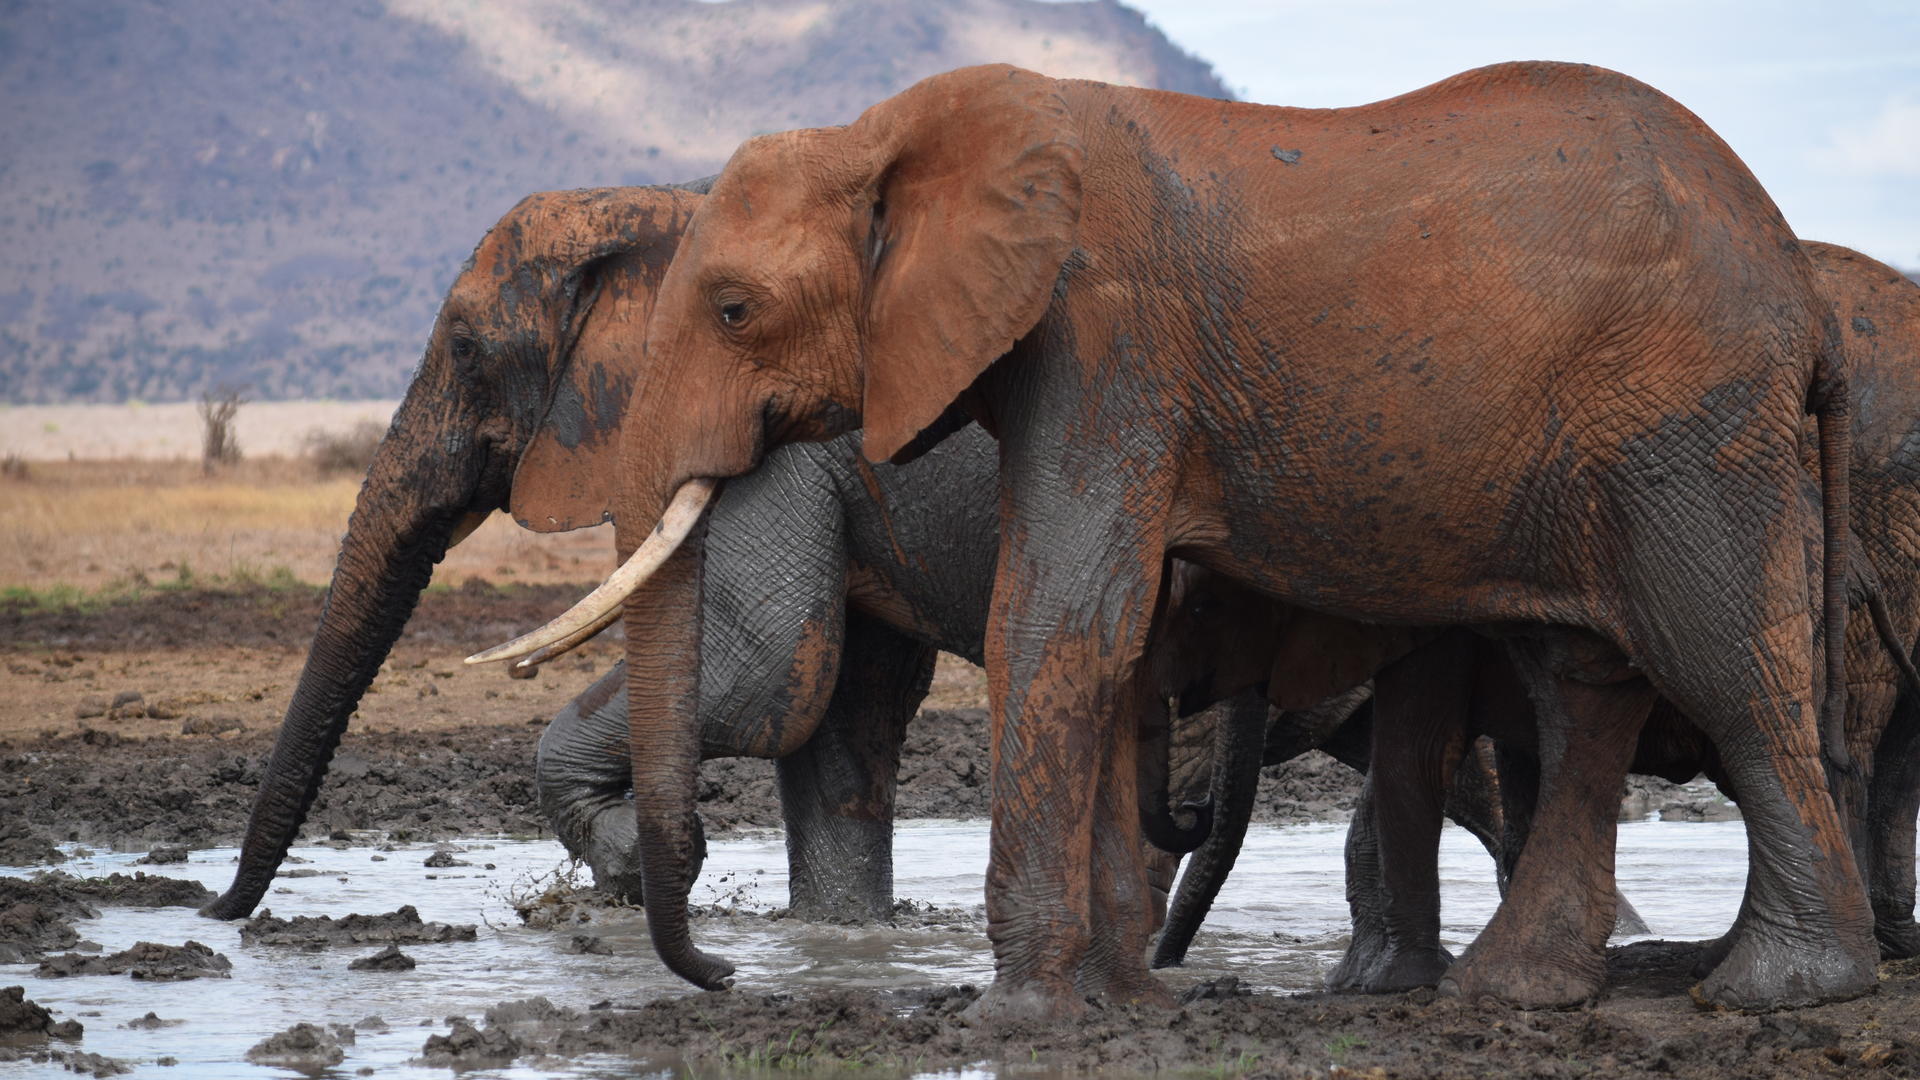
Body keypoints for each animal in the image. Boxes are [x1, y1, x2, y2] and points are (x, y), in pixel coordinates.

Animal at [481, 61, 1868, 1017]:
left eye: (732, 308)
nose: (720, 972)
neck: (893, 136)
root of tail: (1802, 291)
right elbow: (1115, 640)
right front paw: (1123, 1000)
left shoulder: (1105, 335)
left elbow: (1058, 618)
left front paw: (1019, 1015)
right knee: (1582, 686)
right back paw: (1519, 992)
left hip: (1689, 426)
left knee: (1726, 672)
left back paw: (1778, 990)